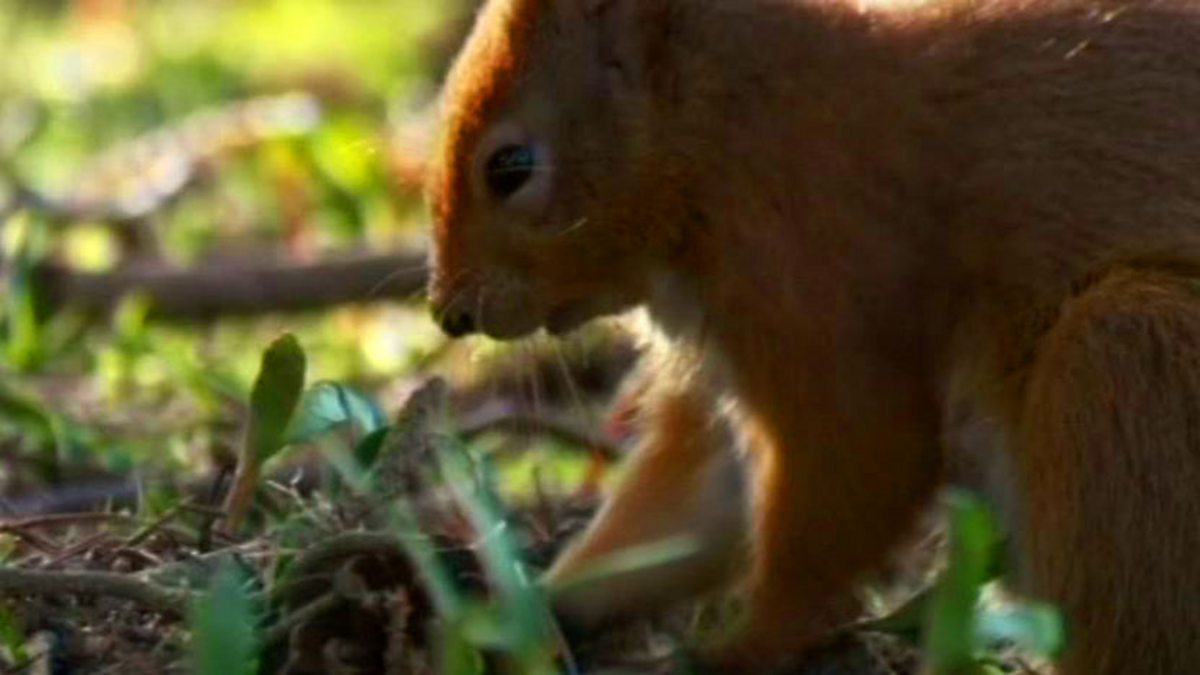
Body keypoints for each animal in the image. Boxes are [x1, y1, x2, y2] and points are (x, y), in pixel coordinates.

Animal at [424, 0, 1200, 672]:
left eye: (510, 166)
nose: (448, 314)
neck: (726, 118)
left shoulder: (818, 278)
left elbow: (851, 476)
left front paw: (739, 648)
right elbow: (692, 509)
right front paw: (534, 608)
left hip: (1127, 364)